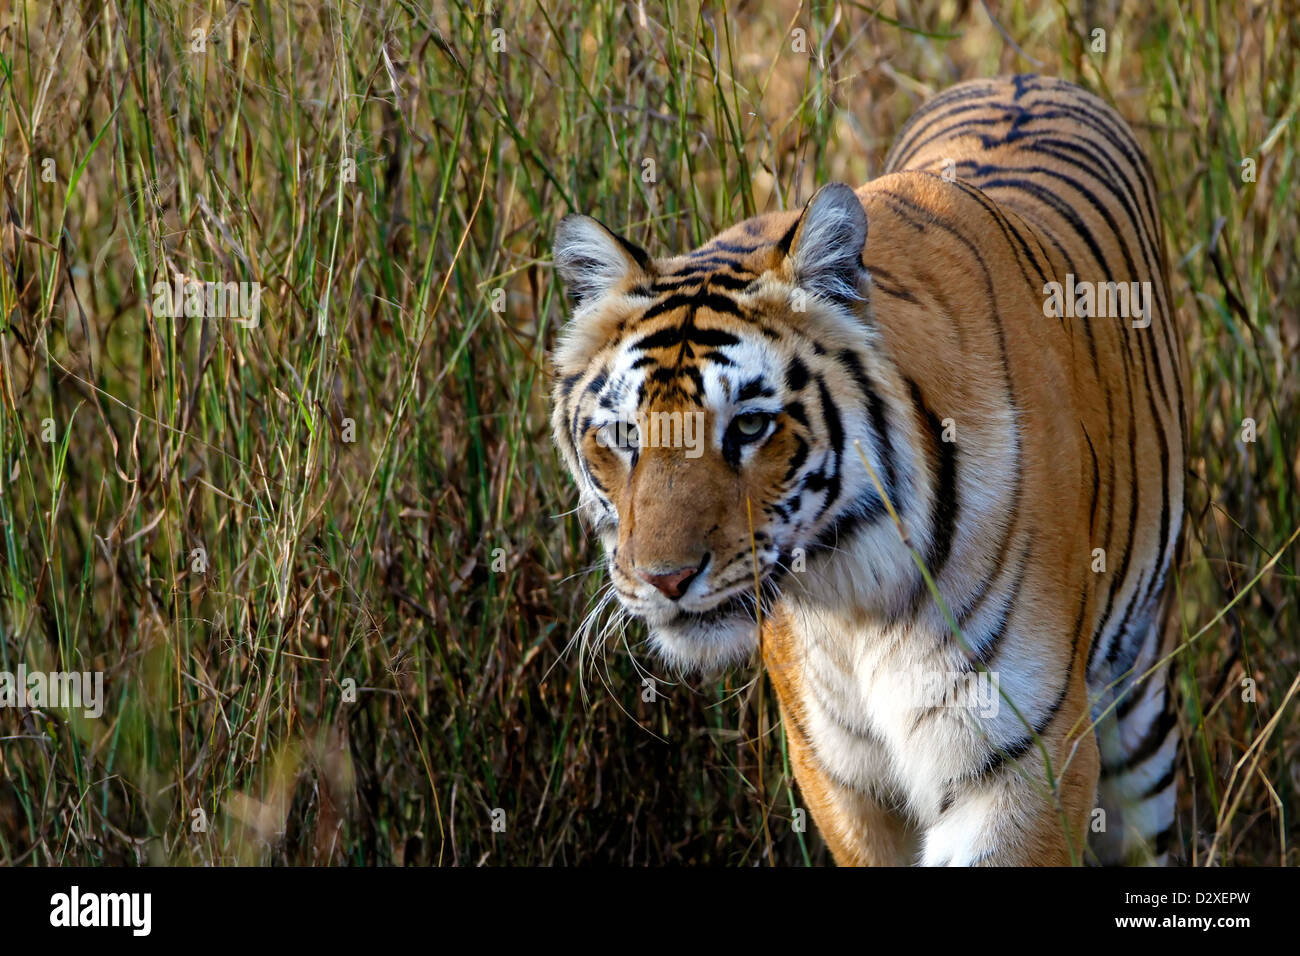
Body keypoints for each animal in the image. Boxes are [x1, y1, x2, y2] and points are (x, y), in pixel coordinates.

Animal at [550, 75, 1187, 866]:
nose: (665, 579)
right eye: (624, 433)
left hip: (1140, 706)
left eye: (750, 426)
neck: (852, 598)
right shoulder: (837, 772)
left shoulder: (1027, 757)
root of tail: (1023, 77)